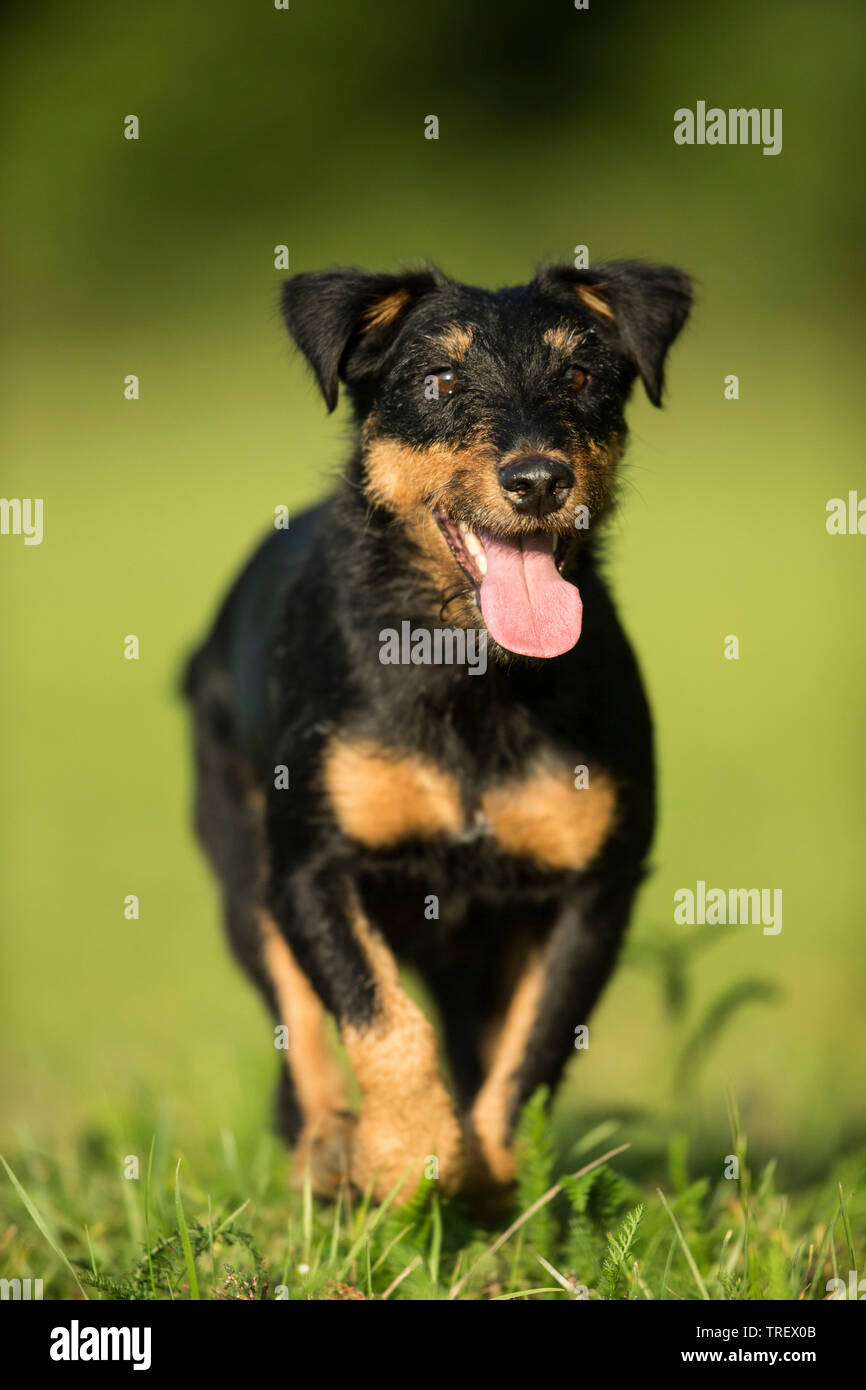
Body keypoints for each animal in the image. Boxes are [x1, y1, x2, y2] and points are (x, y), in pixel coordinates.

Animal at [183, 258, 692, 1206]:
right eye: (441, 381)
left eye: (581, 374)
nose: (538, 479)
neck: (470, 671)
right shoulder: (308, 867)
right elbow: (378, 1017)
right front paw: (409, 1155)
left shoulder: (594, 893)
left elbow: (529, 1057)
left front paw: (482, 1175)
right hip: (243, 868)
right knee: (298, 1020)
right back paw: (328, 1149)